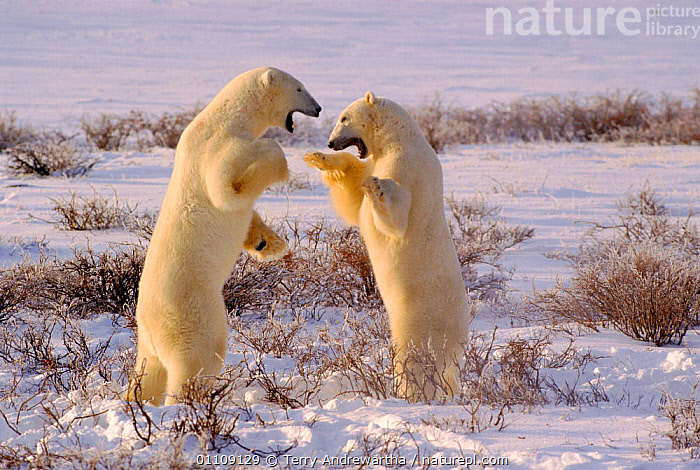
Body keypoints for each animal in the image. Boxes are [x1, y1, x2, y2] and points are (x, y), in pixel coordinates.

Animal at [127, 67, 321, 406]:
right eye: (299, 88)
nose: (319, 108)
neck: (224, 119)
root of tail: (149, 325)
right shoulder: (216, 150)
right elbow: (226, 191)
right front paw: (278, 161)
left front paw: (269, 244)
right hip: (193, 314)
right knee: (198, 358)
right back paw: (191, 401)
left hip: (149, 343)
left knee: (148, 373)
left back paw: (134, 399)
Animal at [304, 92, 470, 402]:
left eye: (344, 117)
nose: (330, 142)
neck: (397, 139)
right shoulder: (376, 160)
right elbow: (353, 198)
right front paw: (319, 159)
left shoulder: (407, 166)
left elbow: (397, 220)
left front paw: (378, 188)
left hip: (419, 316)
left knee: (416, 359)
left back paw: (411, 393)